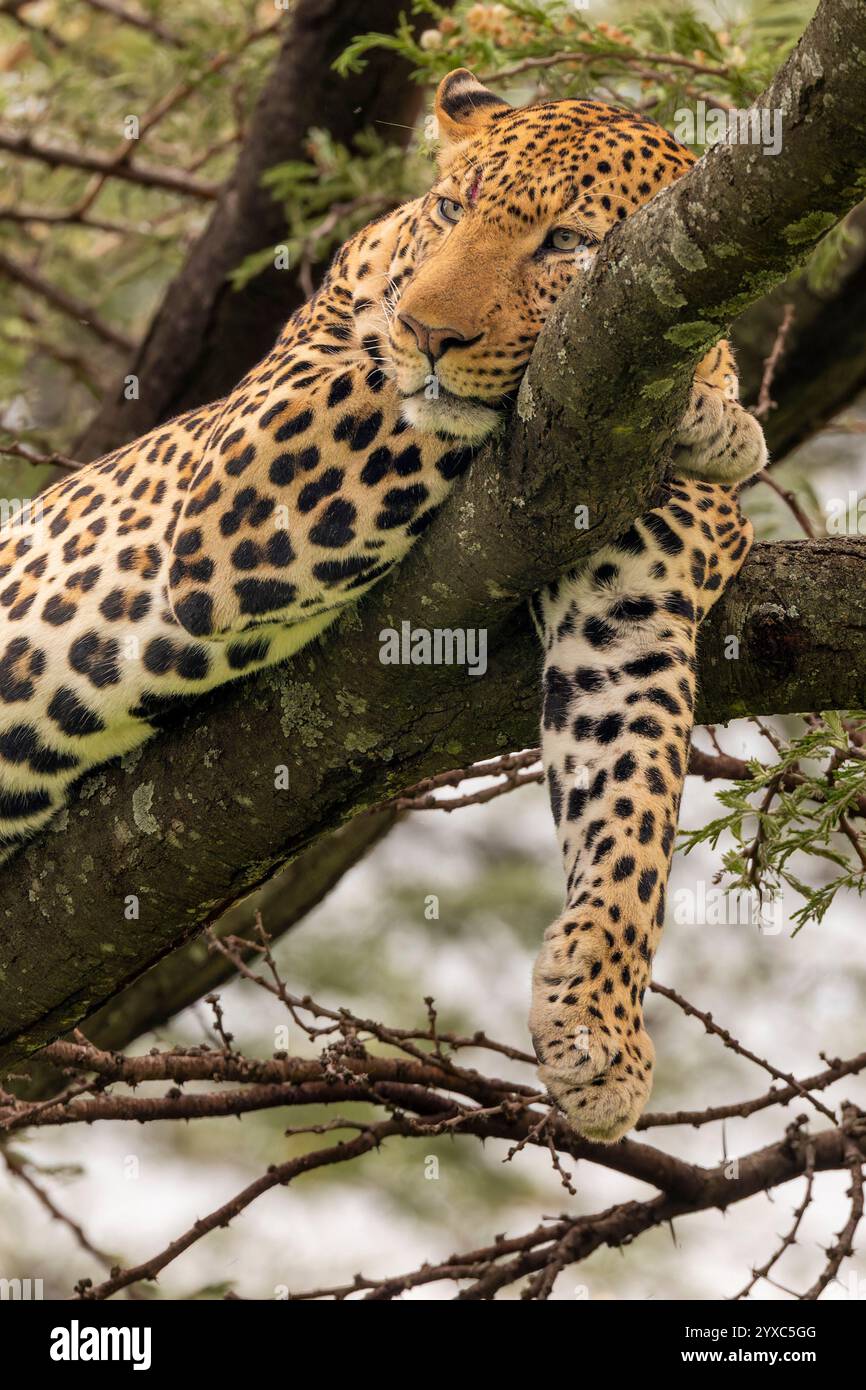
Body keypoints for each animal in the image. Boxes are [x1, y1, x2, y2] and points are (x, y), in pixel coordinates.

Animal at [0, 70, 766, 1136]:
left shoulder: (628, 615)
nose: (429, 332)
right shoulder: (248, 472)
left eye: (565, 243)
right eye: (450, 211)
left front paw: (599, 1025)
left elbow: (635, 805)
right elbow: (402, 389)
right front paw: (721, 418)